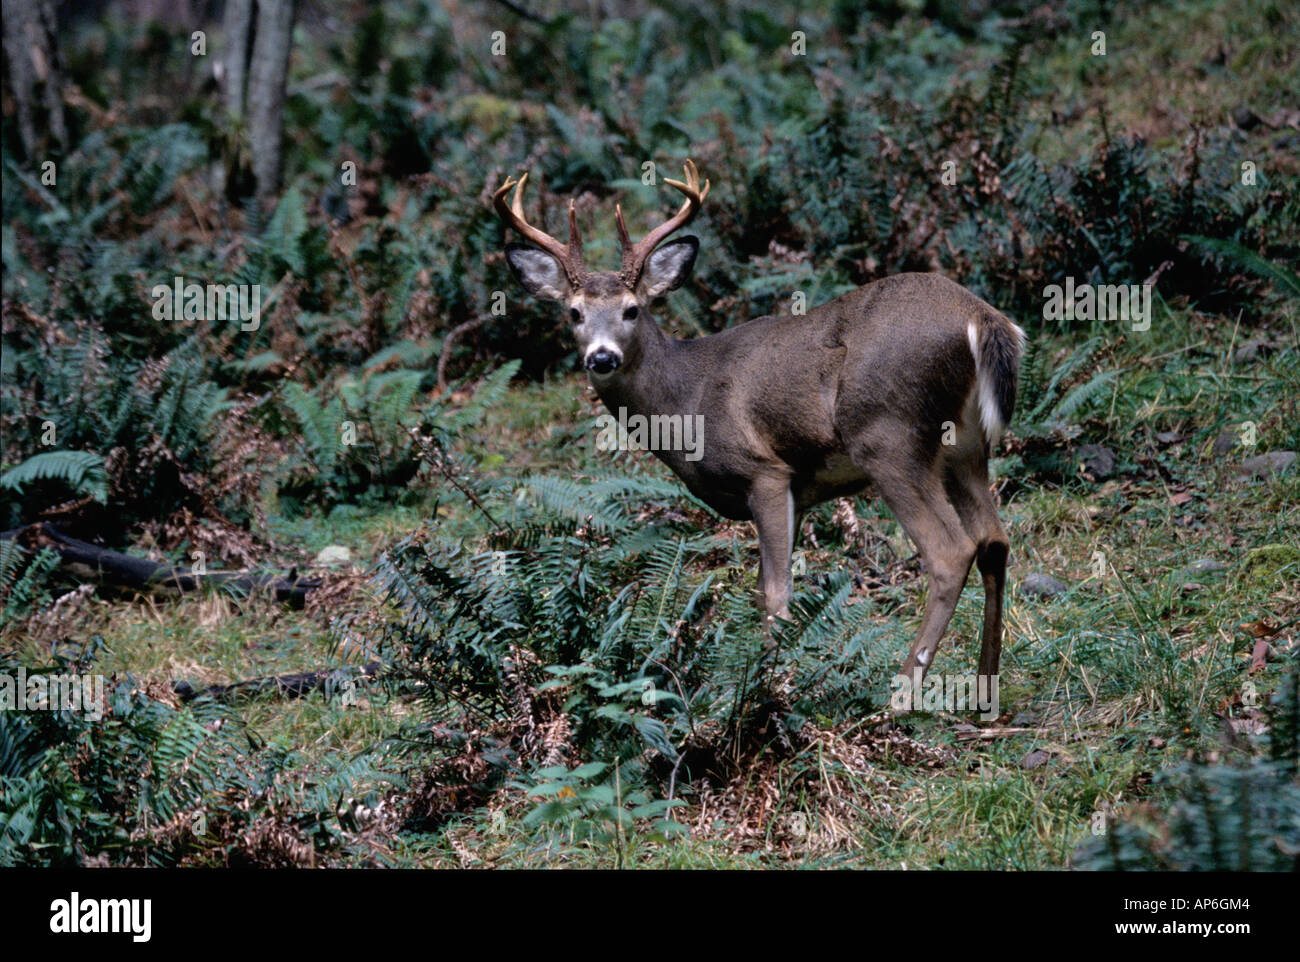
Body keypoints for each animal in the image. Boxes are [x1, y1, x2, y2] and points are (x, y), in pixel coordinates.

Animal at [493, 160, 1025, 685]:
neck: (686, 401)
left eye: (632, 309)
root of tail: (982, 318)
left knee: (950, 551)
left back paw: (903, 692)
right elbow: (762, 589)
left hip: (889, 436)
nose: (601, 357)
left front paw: (769, 684)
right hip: (966, 448)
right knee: (994, 541)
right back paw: (986, 686)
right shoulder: (800, 492)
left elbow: (775, 593)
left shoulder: (765, 472)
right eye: (574, 312)